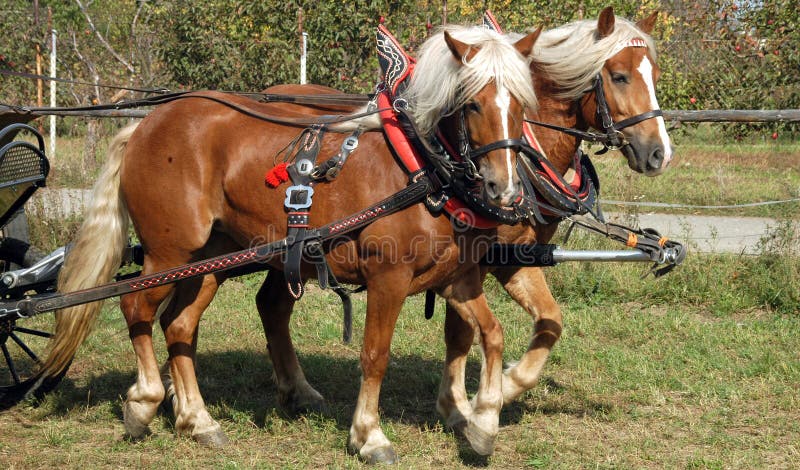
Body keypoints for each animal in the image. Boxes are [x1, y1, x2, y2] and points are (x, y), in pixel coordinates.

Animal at [37, 25, 541, 464]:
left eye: (521, 103)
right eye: (472, 105)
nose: (504, 189)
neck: (421, 168)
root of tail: (145, 125)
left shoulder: (457, 279)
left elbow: (493, 334)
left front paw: (483, 422)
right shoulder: (388, 280)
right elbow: (375, 356)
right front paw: (369, 436)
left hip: (209, 260)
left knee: (179, 326)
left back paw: (197, 420)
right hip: (168, 254)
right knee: (137, 310)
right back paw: (144, 401)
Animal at [439, 7, 674, 416]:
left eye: (655, 76)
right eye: (620, 76)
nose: (660, 153)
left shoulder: (516, 258)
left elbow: (551, 321)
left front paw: (508, 384)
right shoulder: (468, 263)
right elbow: (460, 331)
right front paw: (459, 404)